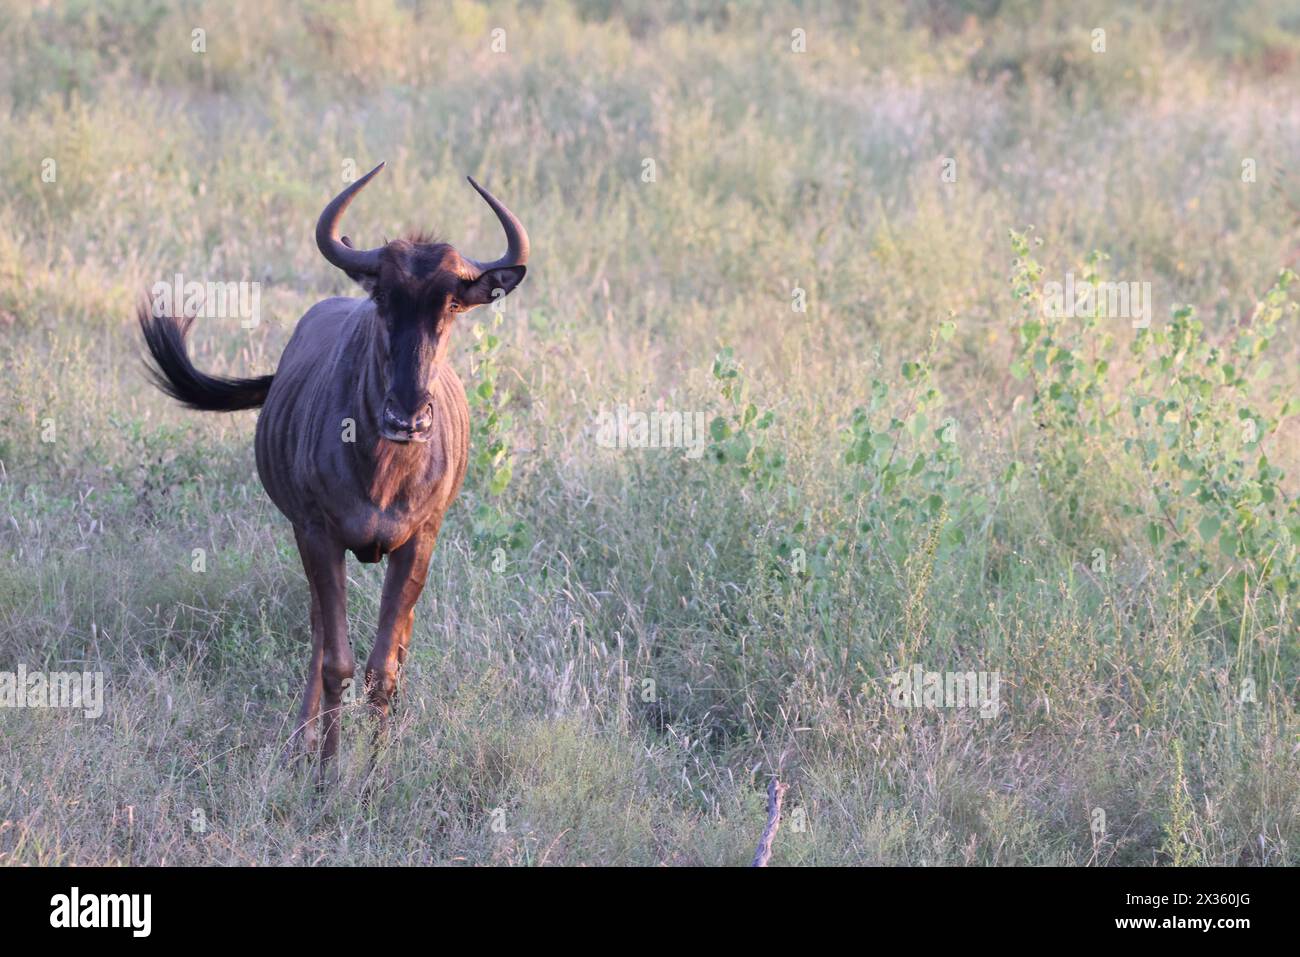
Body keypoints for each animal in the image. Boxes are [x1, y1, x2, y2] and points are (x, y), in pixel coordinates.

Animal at [138, 163, 529, 763]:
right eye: (383, 297)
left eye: (452, 304)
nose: (407, 417)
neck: (383, 470)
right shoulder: (318, 534)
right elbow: (336, 661)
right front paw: (325, 770)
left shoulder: (419, 542)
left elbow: (382, 668)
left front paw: (375, 774)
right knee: (321, 628)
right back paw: (302, 739)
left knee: (398, 642)